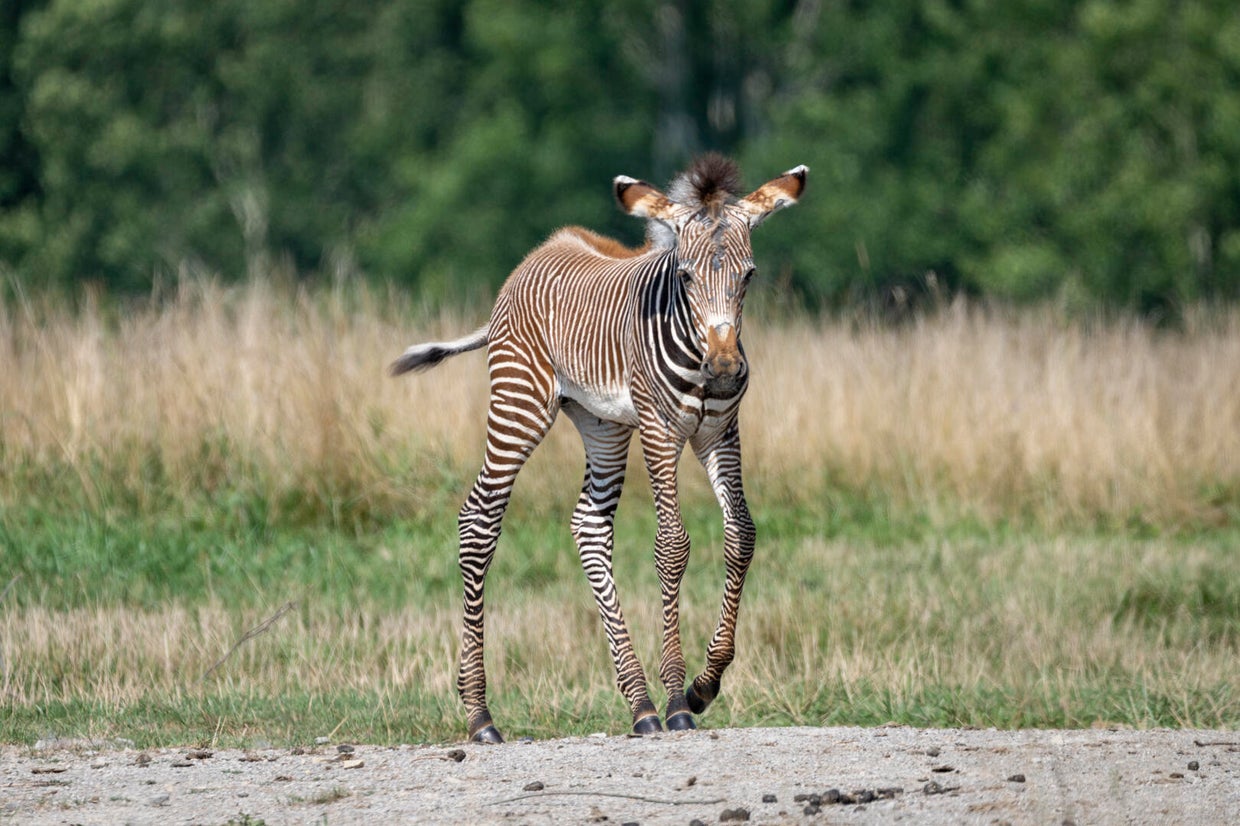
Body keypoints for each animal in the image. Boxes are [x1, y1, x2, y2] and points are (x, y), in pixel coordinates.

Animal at [391, 154, 806, 743]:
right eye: (685, 276)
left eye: (748, 275)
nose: (725, 370)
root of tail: (539, 251)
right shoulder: (659, 428)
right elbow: (673, 546)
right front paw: (679, 698)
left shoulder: (721, 433)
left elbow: (742, 536)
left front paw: (704, 685)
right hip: (519, 406)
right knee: (479, 519)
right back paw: (480, 714)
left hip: (602, 424)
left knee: (588, 525)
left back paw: (640, 705)